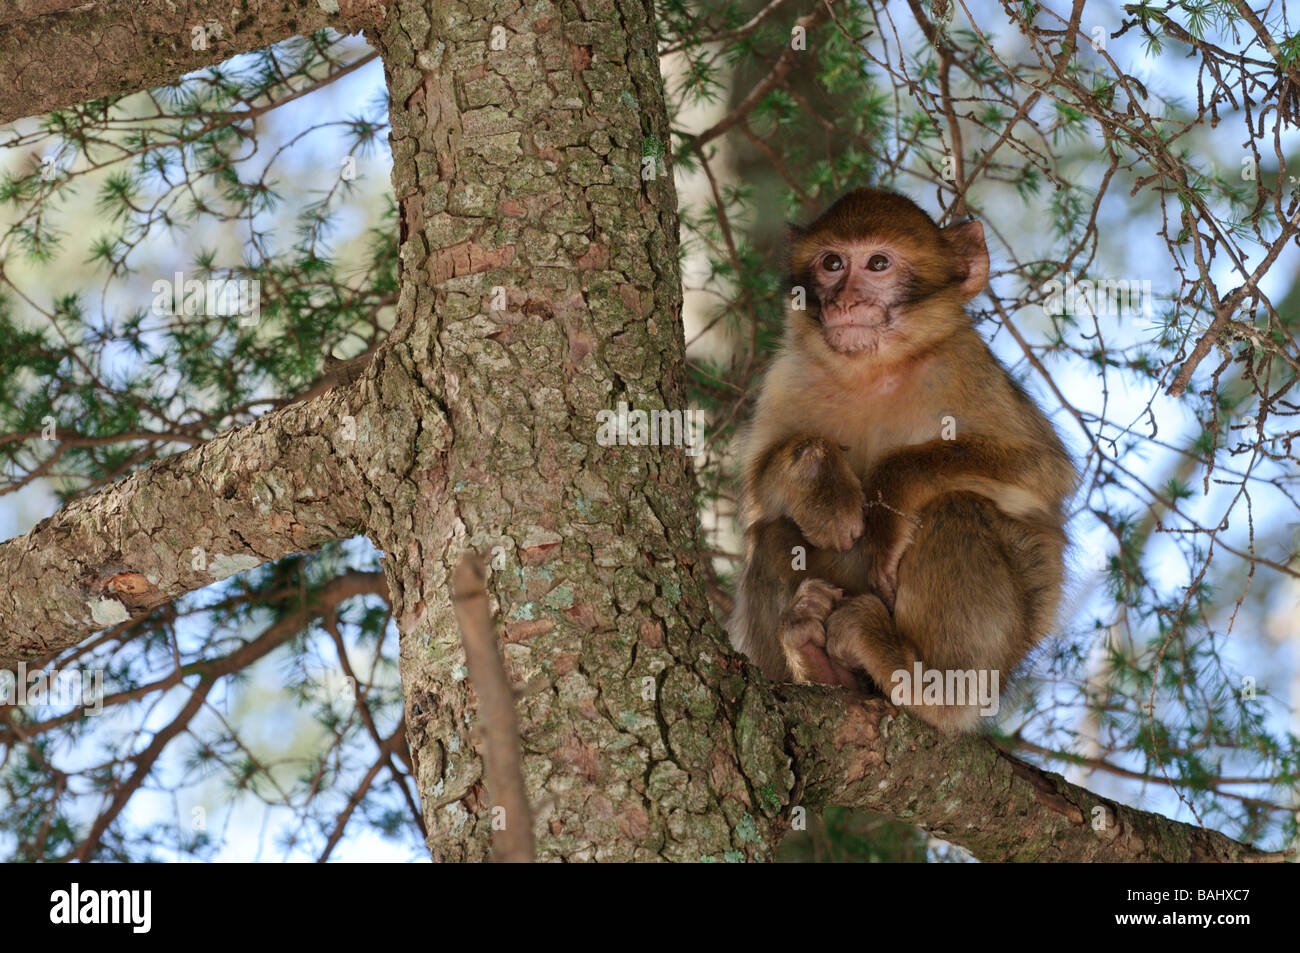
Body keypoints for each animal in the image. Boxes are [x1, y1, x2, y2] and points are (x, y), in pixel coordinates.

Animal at [726, 187, 1076, 732]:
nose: (844, 301)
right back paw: (818, 661)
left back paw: (929, 685)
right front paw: (822, 484)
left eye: (877, 263)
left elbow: (1043, 473)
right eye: (832, 263)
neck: (875, 369)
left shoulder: (966, 364)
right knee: (774, 531)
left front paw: (888, 494)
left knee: (958, 510)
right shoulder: (789, 371)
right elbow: (759, 489)